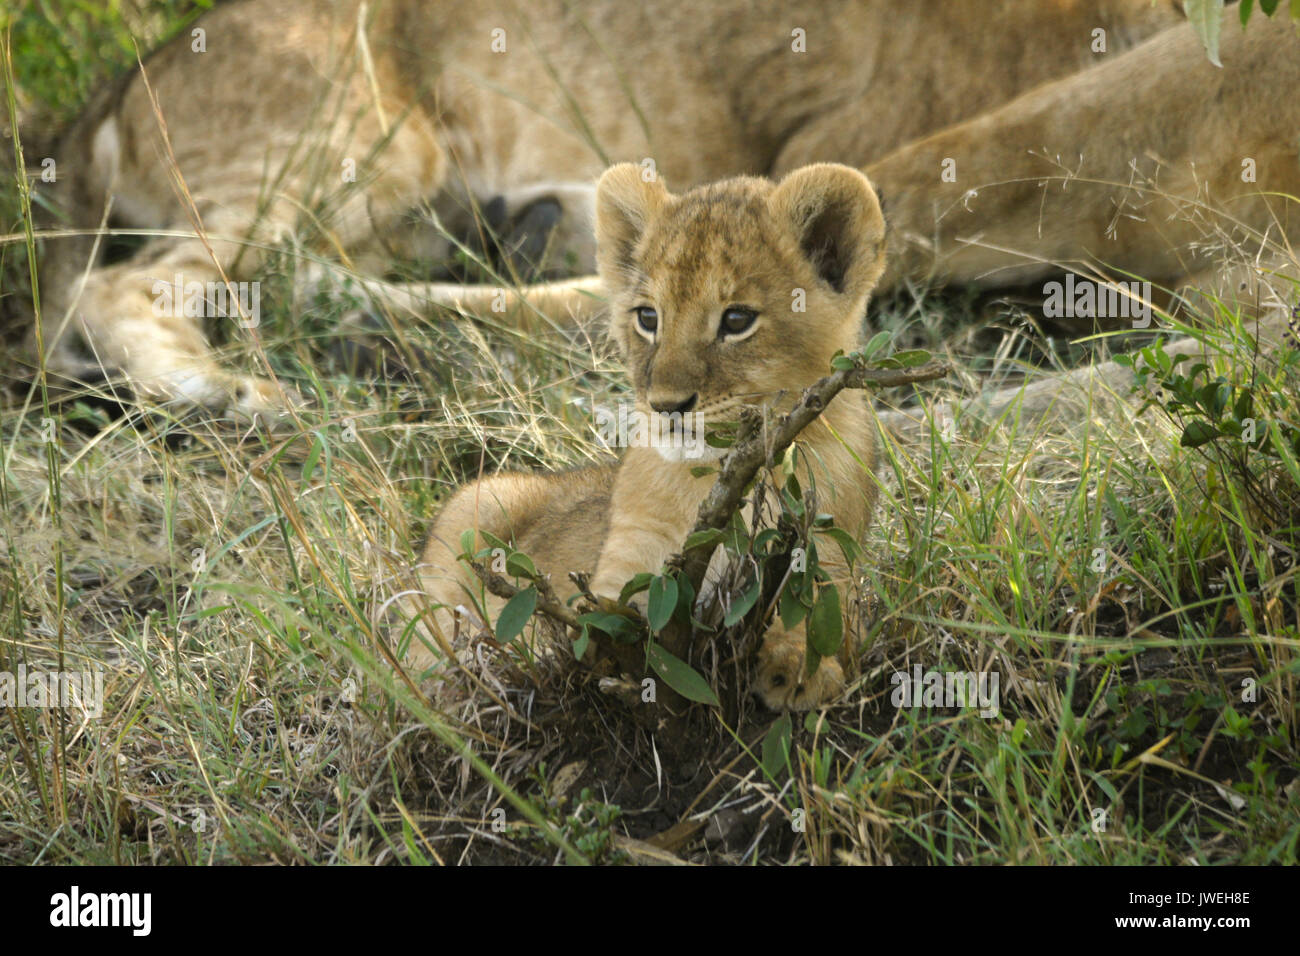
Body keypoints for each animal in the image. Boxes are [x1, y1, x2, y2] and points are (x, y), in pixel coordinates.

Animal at [415, 162, 887, 709]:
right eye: (648, 317)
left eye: (737, 319)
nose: (666, 406)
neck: (720, 480)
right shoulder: (631, 554)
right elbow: (595, 619)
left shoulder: (830, 553)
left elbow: (821, 619)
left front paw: (795, 668)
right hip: (478, 502)